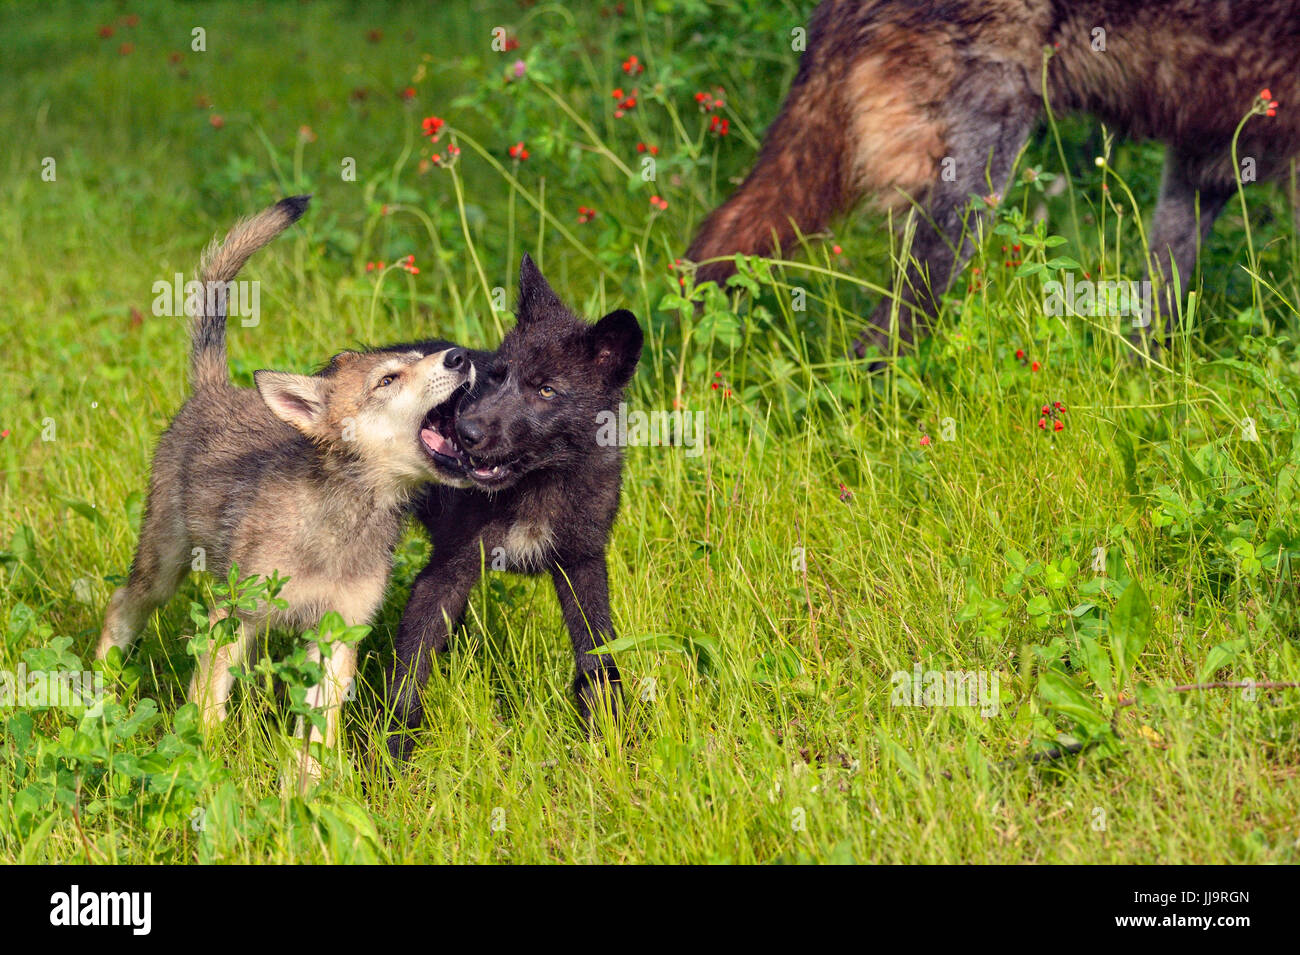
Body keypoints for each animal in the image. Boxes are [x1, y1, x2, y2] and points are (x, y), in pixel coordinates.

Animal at [97, 196, 476, 765]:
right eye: (387, 380)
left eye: (422, 358)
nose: (459, 356)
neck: (338, 521)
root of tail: (215, 388)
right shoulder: (233, 616)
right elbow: (206, 713)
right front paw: (202, 767)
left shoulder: (337, 636)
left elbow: (315, 743)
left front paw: (309, 787)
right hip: (163, 566)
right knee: (121, 604)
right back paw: (96, 687)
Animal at [384, 254, 643, 759]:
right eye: (497, 375)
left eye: (546, 390)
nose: (464, 432)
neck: (537, 486)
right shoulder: (445, 571)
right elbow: (409, 675)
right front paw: (390, 759)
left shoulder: (583, 564)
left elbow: (599, 663)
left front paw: (608, 744)